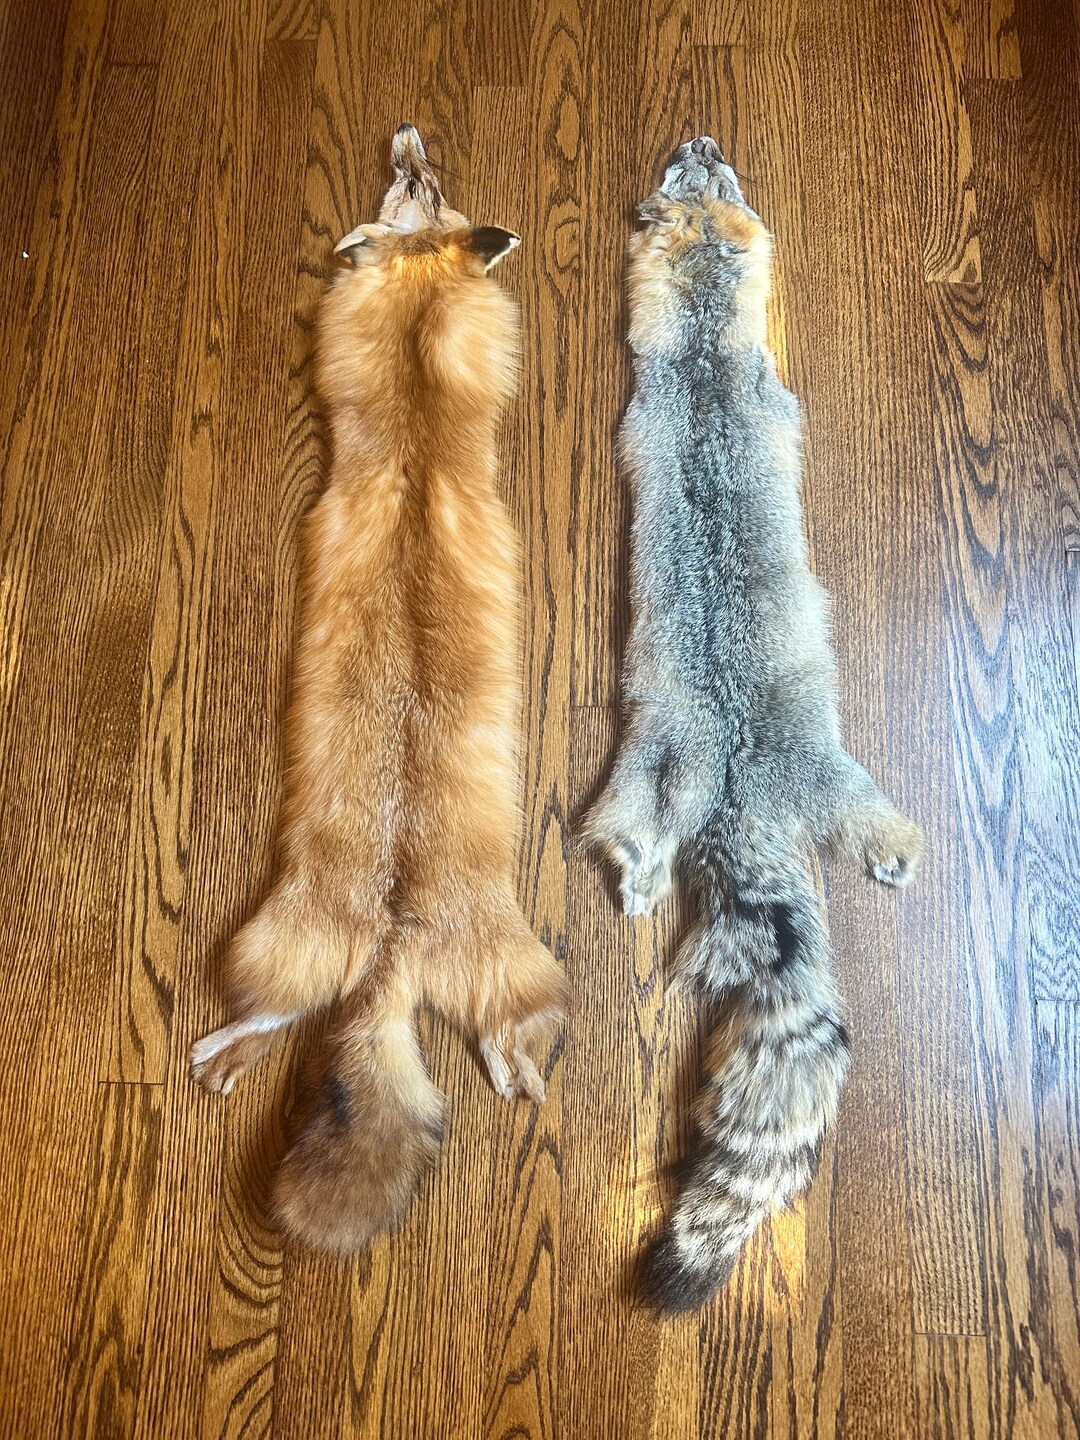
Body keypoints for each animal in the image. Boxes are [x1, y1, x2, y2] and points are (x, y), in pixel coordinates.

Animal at [191, 125, 566, 1252]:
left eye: (423, 184)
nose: (410, 137)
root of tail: (396, 933)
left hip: (318, 949)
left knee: (342, 1020)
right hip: (473, 969)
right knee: (480, 1031)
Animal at [584, 138, 924, 1312]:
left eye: (706, 179)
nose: (700, 140)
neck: (698, 351)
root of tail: (735, 778)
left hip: (653, 776)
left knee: (636, 842)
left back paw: (640, 886)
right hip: (838, 775)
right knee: (871, 824)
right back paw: (899, 854)